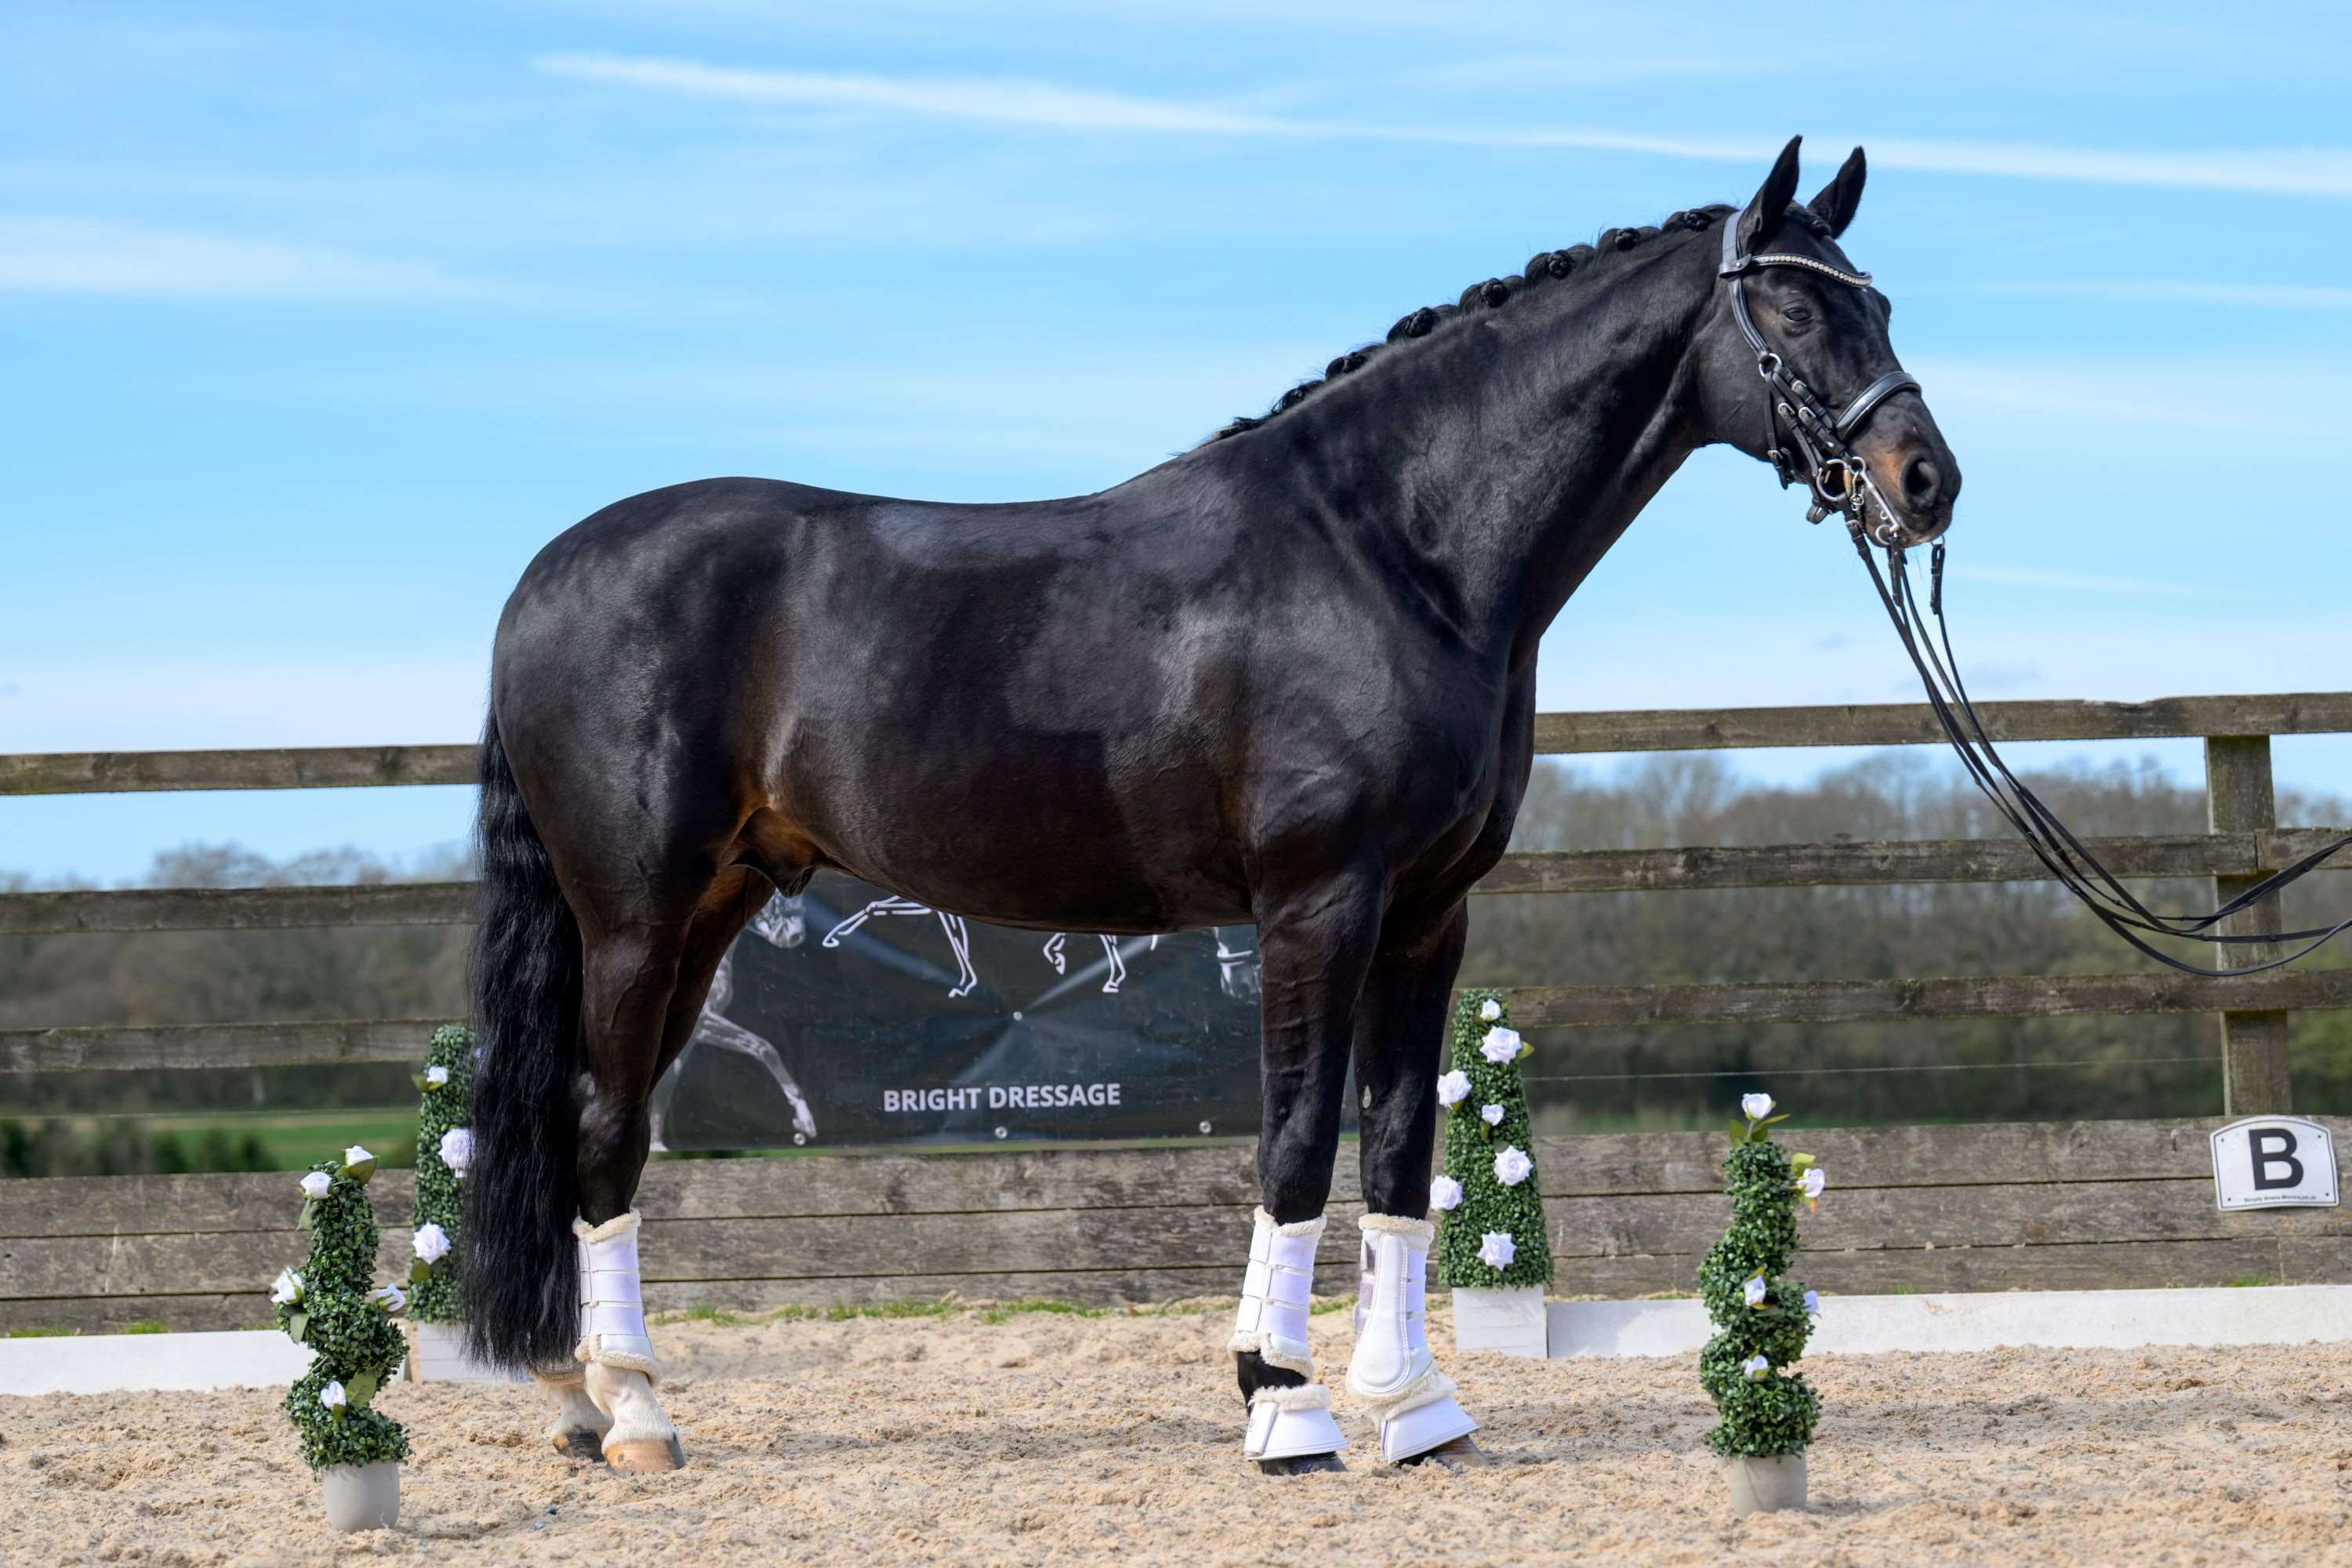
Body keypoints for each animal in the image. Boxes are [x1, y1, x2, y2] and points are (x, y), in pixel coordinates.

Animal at [463, 136, 1958, 1475]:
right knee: (602, 1131)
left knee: (603, 1130)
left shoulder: (1430, 917)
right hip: (637, 920)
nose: (1926, 480)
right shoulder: (1317, 904)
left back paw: (587, 1398)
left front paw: (1416, 1410)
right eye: (1797, 307)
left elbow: (1399, 1154)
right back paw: (637, 1414)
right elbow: (1296, 1146)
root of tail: (544, 577)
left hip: (709, 913)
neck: (1391, 551)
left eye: (1879, 301)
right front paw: (1284, 1405)